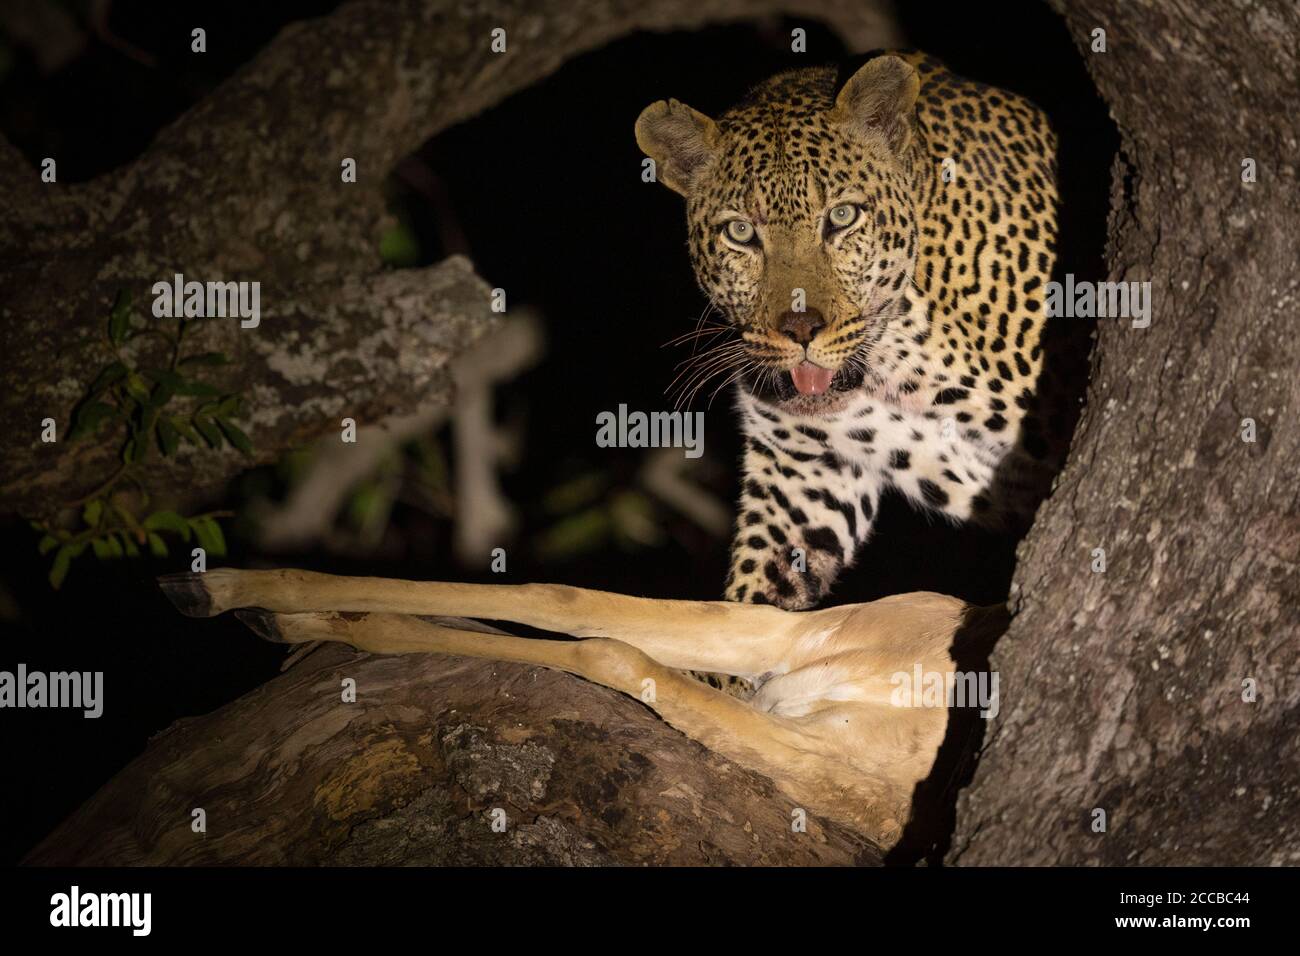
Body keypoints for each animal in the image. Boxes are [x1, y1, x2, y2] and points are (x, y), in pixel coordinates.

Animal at [636, 51, 1077, 678]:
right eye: (741, 232)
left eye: (842, 216)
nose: (800, 331)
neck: (898, 361)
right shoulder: (804, 476)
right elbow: (747, 606)